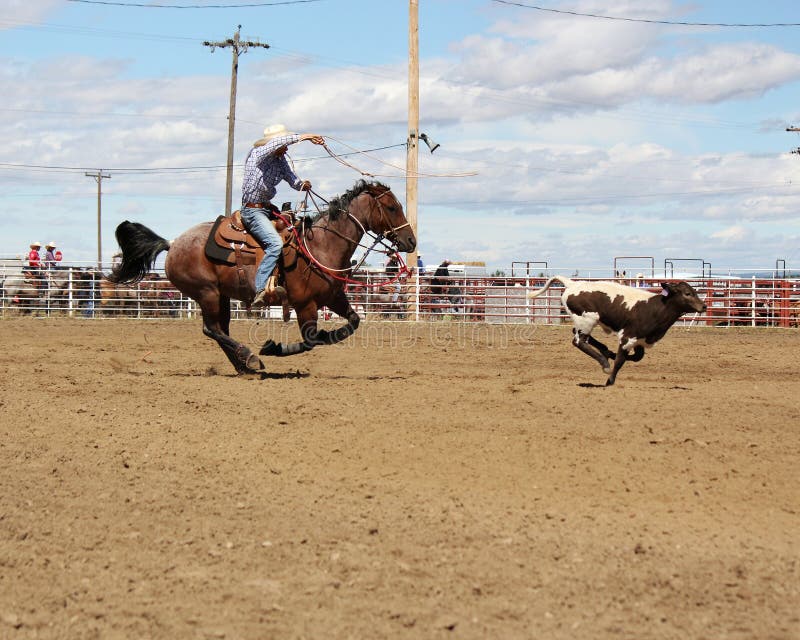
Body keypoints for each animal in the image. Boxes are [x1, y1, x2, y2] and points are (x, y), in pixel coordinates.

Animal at [527, 276, 707, 386]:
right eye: (687, 293)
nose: (703, 306)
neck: (657, 308)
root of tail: (573, 284)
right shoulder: (628, 337)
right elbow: (620, 360)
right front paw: (610, 380)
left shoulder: (639, 340)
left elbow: (636, 357)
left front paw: (611, 354)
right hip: (587, 320)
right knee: (578, 341)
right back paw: (604, 363)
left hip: (584, 322)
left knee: (577, 334)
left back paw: (605, 352)